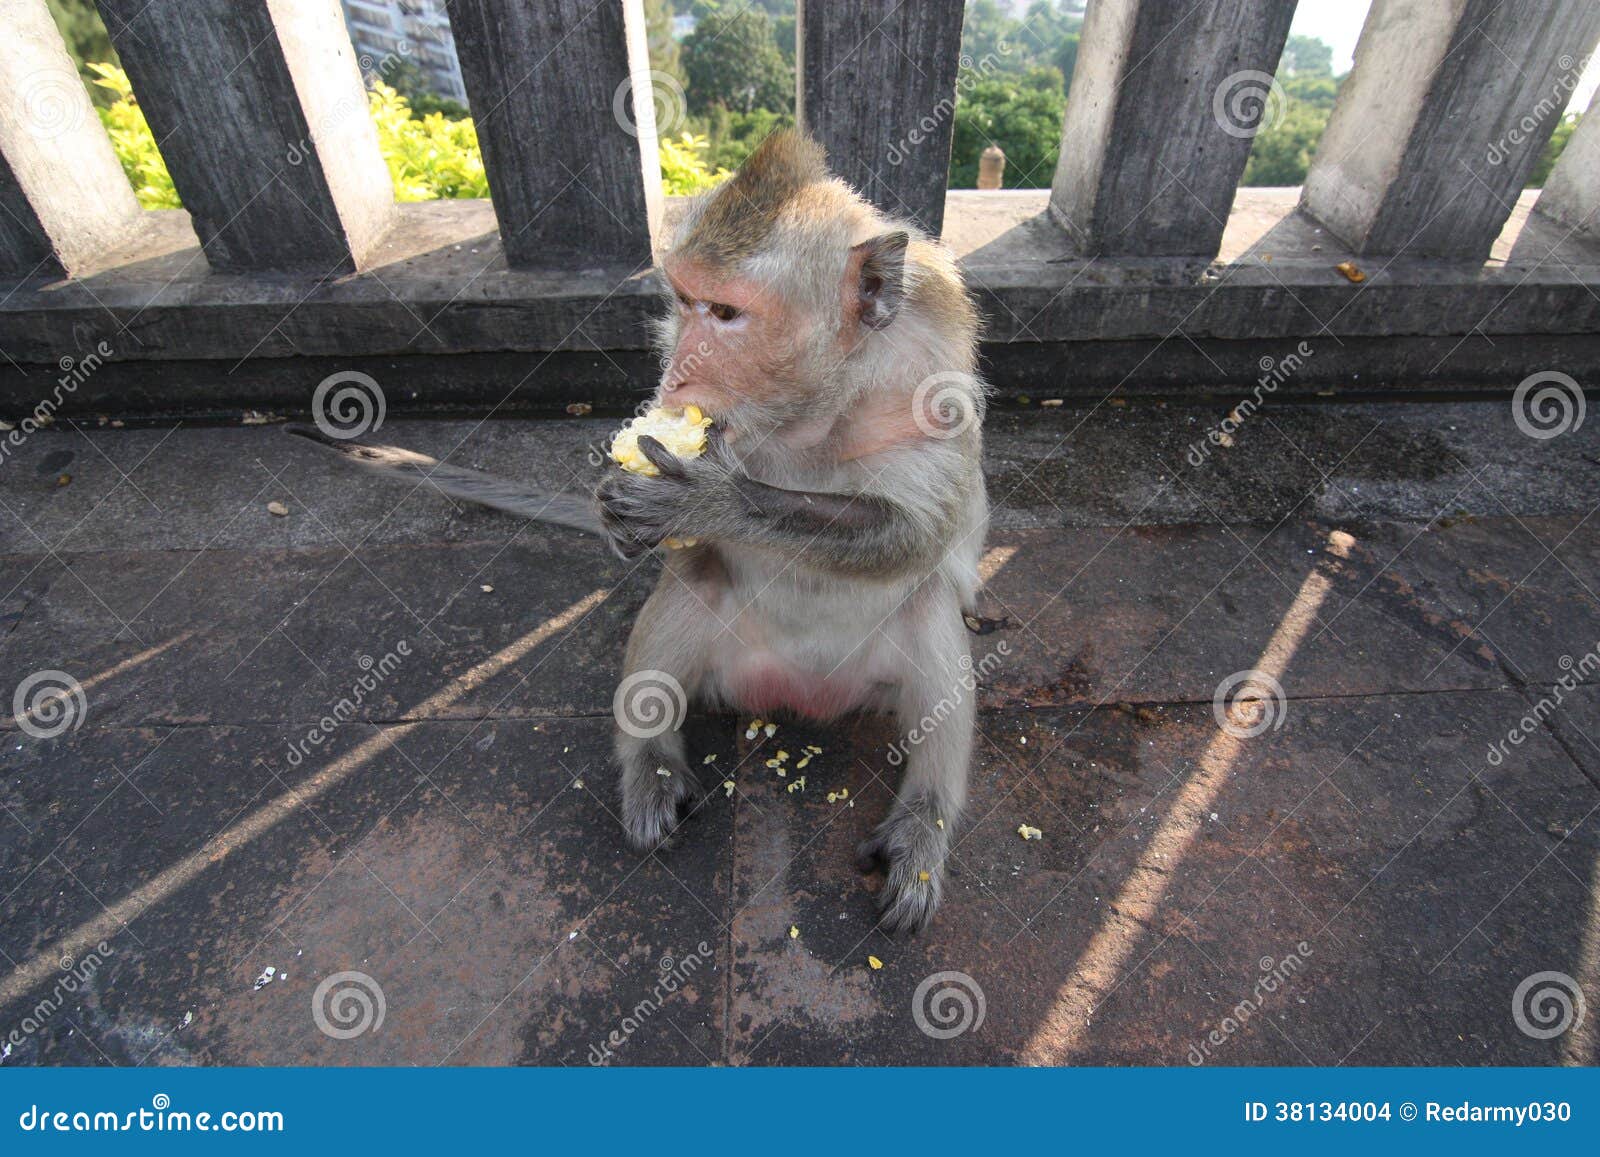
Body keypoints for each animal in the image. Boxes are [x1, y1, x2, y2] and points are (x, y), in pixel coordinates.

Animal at [289, 130, 990, 932]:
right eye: (684, 302)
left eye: (726, 312)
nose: (679, 372)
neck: (818, 407)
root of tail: (802, 697)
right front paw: (616, 513)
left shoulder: (930, 376)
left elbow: (917, 533)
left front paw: (715, 502)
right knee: (692, 585)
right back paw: (649, 759)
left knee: (929, 608)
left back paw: (924, 824)